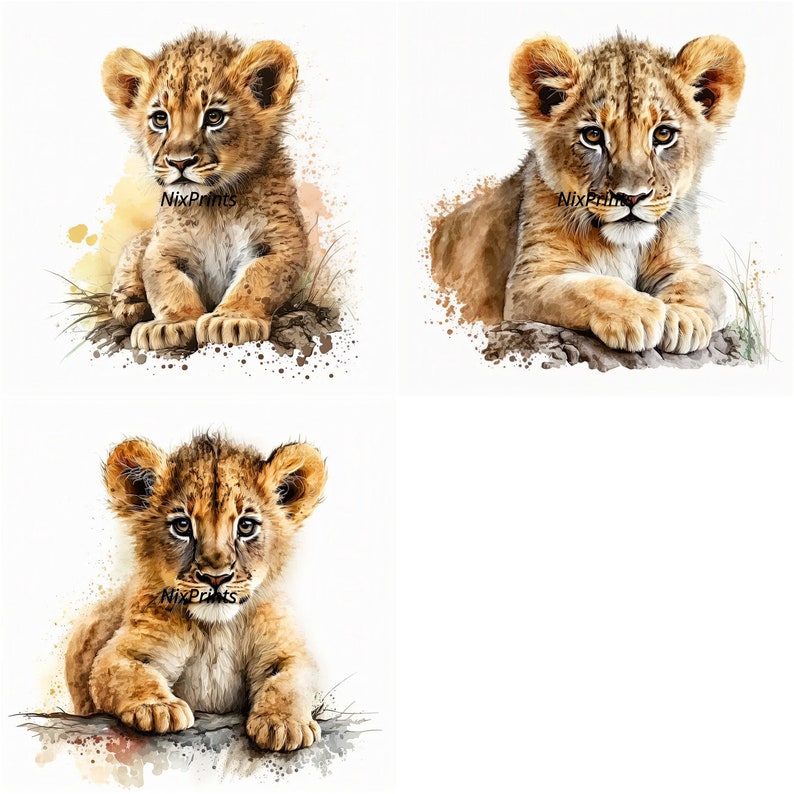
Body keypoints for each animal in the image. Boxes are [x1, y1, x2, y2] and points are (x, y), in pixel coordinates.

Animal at [65, 433, 326, 752]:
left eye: (246, 526)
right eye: (182, 525)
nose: (216, 577)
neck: (216, 630)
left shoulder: (286, 651)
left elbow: (290, 683)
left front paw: (284, 724)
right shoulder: (123, 652)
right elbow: (130, 674)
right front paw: (157, 708)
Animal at [102, 31, 308, 351]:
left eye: (214, 117)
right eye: (160, 119)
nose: (179, 161)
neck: (215, 205)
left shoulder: (284, 242)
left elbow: (257, 278)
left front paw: (232, 320)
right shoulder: (162, 248)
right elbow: (168, 284)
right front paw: (170, 325)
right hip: (137, 244)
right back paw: (130, 306)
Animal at [431, 33, 745, 353]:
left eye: (663, 134)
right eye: (593, 136)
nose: (631, 197)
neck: (625, 246)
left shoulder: (683, 258)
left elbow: (704, 281)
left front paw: (684, 318)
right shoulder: (526, 283)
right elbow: (590, 287)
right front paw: (638, 314)